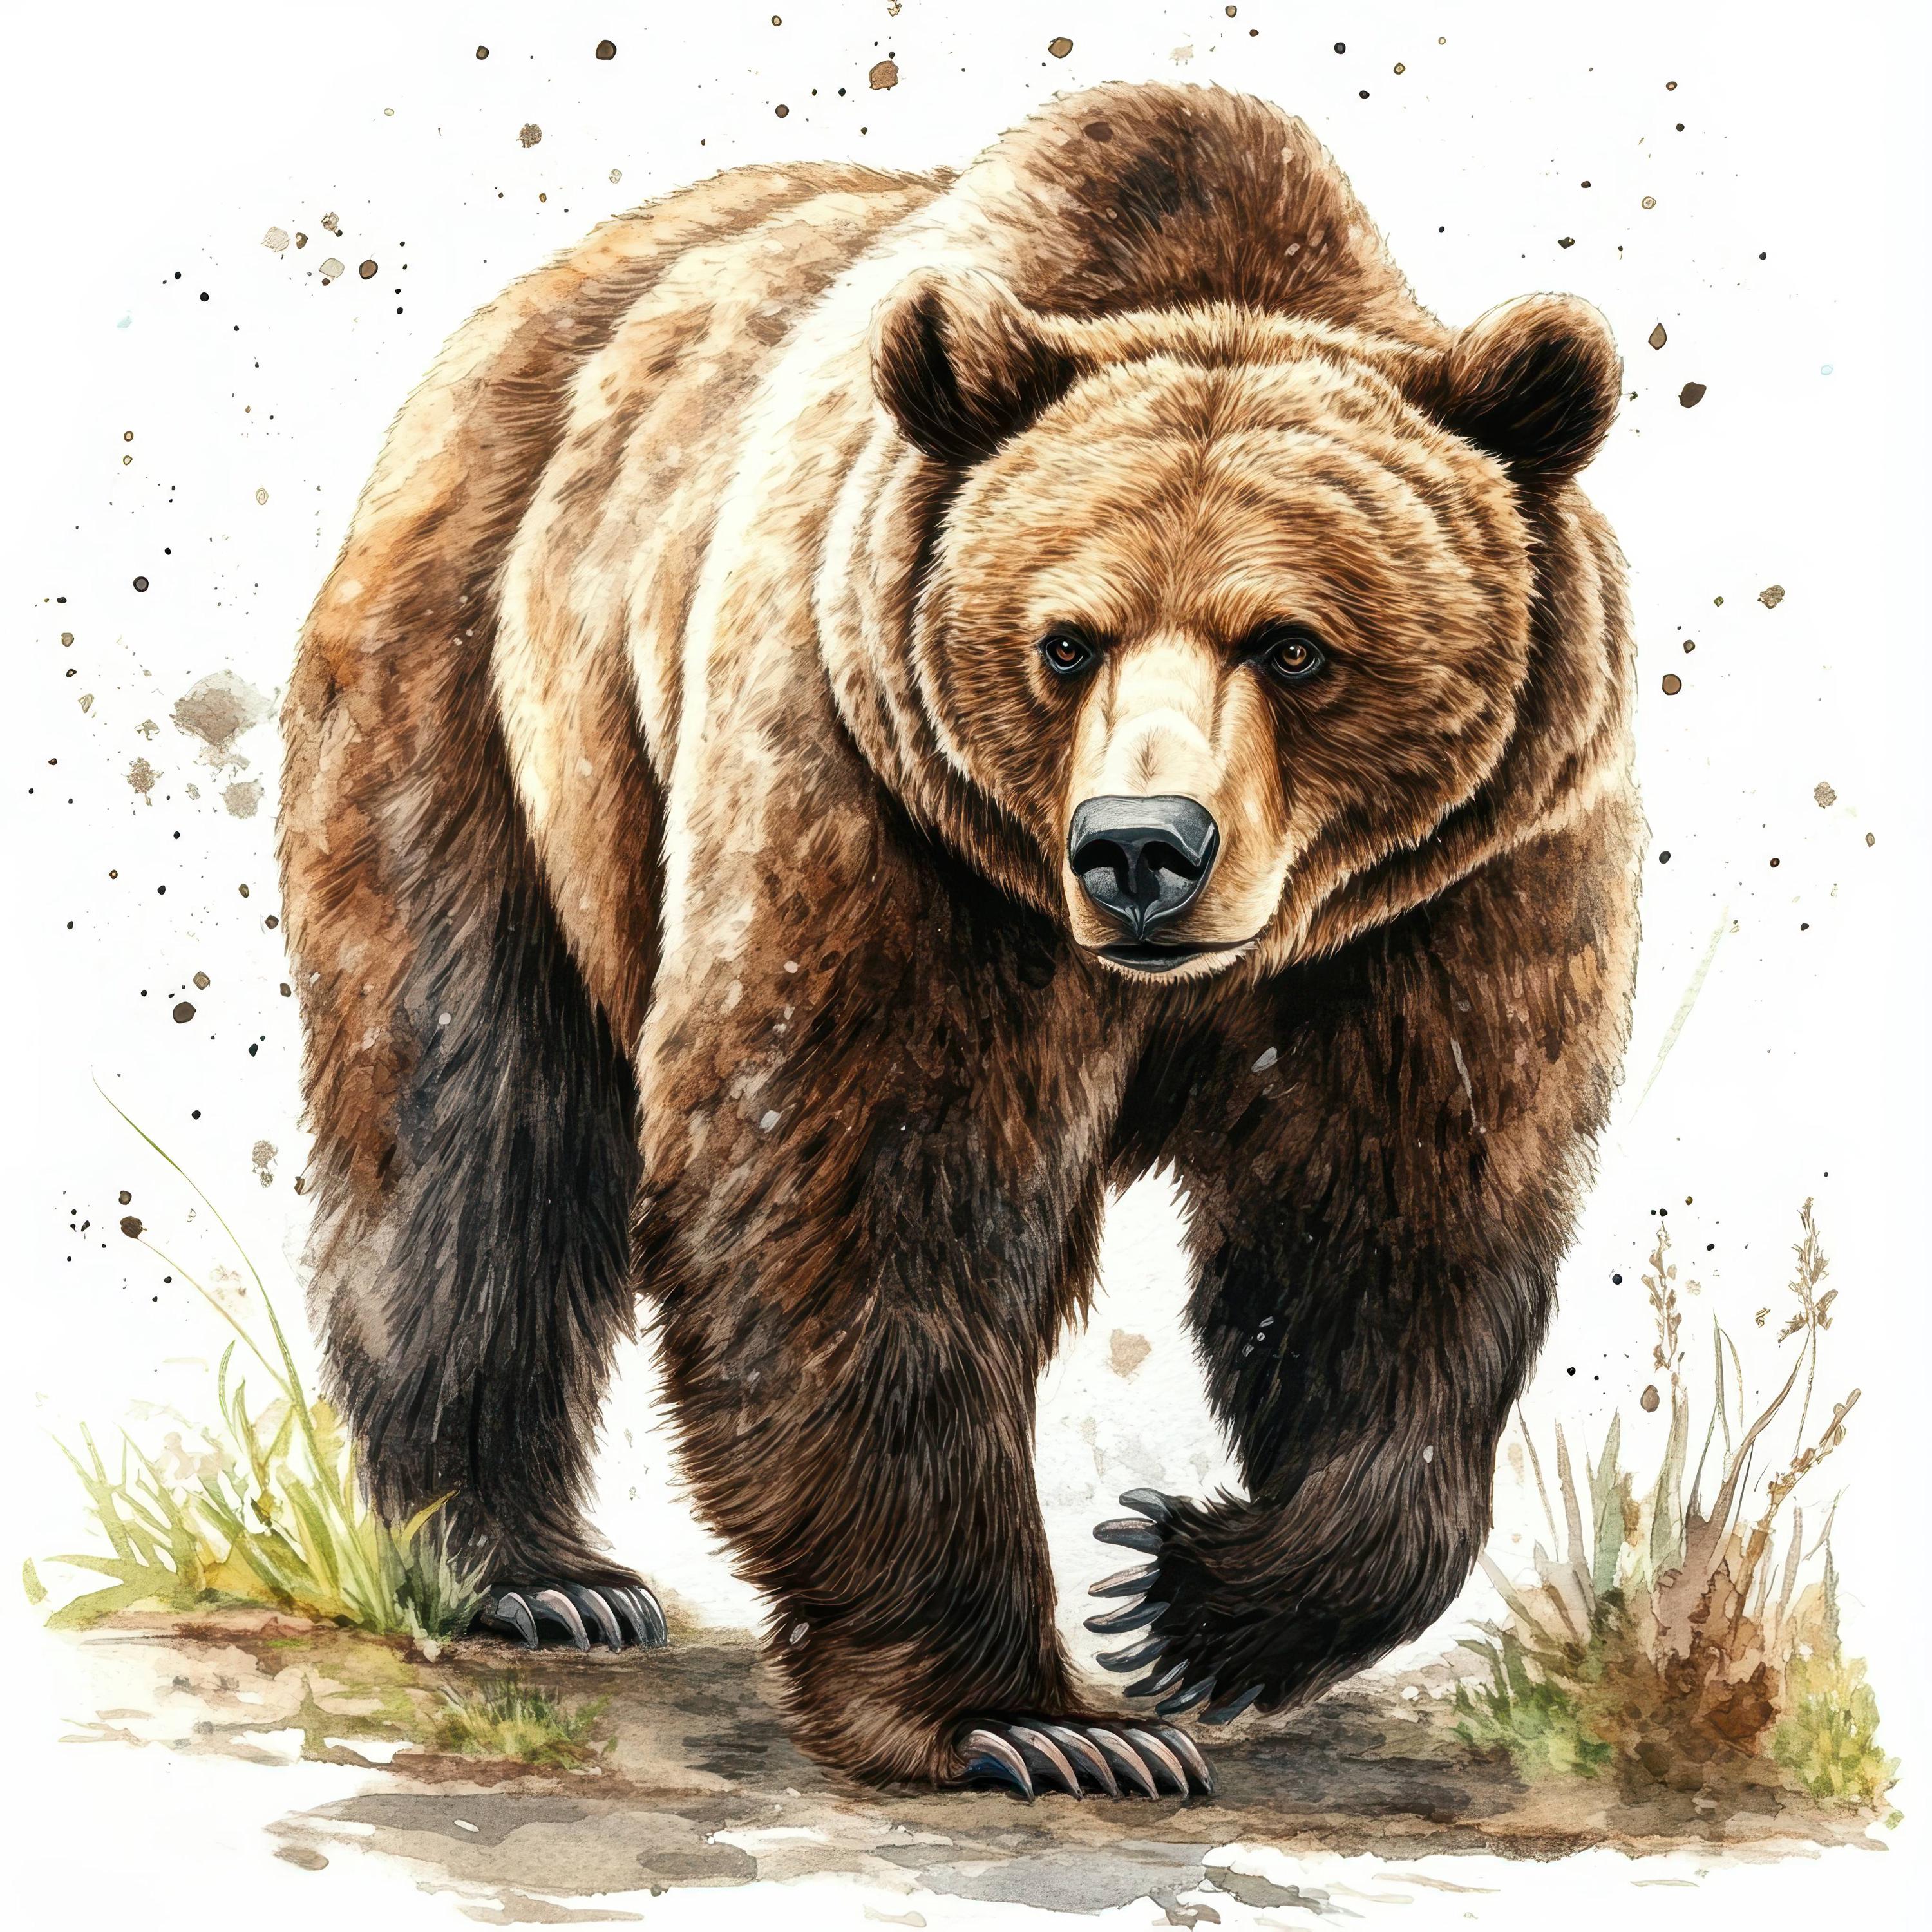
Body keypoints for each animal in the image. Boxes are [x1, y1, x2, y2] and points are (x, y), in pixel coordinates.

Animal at [279, 82, 1639, 1797]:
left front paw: (1189, 1592)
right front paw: (1040, 1716)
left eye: (1295, 644)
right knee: (468, 1119)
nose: (1140, 850)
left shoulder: (1455, 888)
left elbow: (1394, 1222)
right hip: (487, 696)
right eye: (1064, 639)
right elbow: (856, 1184)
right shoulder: (884, 797)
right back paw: (528, 1570)